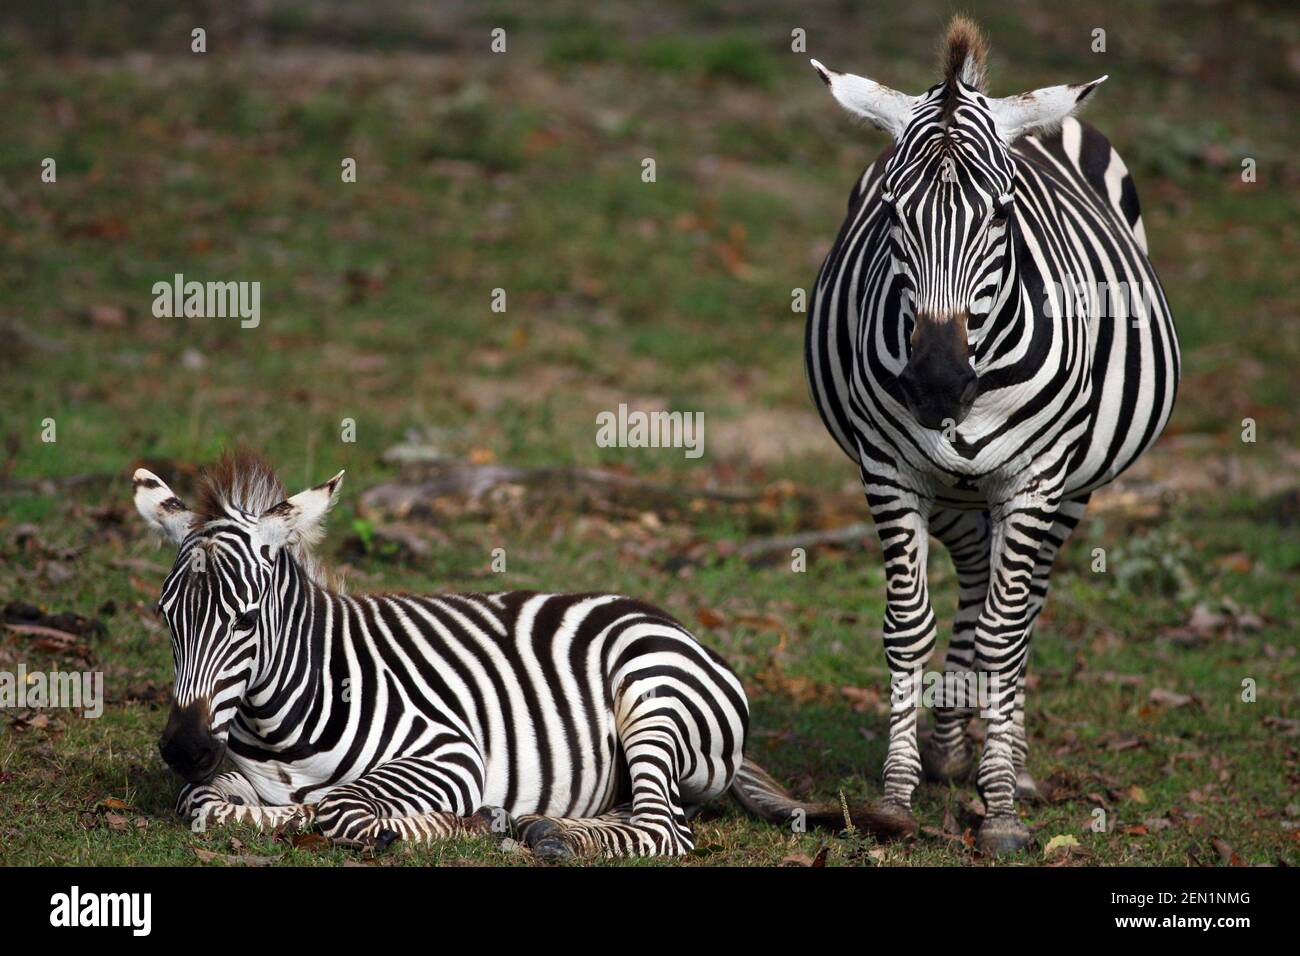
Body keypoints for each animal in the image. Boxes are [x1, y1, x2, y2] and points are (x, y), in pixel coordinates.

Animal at [132, 450, 910, 859]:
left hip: (651, 700)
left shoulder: (449, 753)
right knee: (639, 813)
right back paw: (545, 827)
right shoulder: (222, 779)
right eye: (168, 618)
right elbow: (204, 806)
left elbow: (345, 810)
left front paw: (449, 824)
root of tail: (671, 621)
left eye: (245, 620)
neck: (283, 722)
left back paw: (550, 834)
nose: (182, 747)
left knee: (662, 829)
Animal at [805, 16, 1178, 854]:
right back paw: (951, 743)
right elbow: (909, 627)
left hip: (1068, 487)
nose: (937, 382)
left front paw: (1002, 803)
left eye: (1002, 215)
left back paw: (1015, 763)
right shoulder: (890, 471)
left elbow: (1009, 632)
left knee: (1024, 603)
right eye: (891, 216)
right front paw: (900, 794)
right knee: (975, 580)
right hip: (954, 489)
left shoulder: (1035, 479)